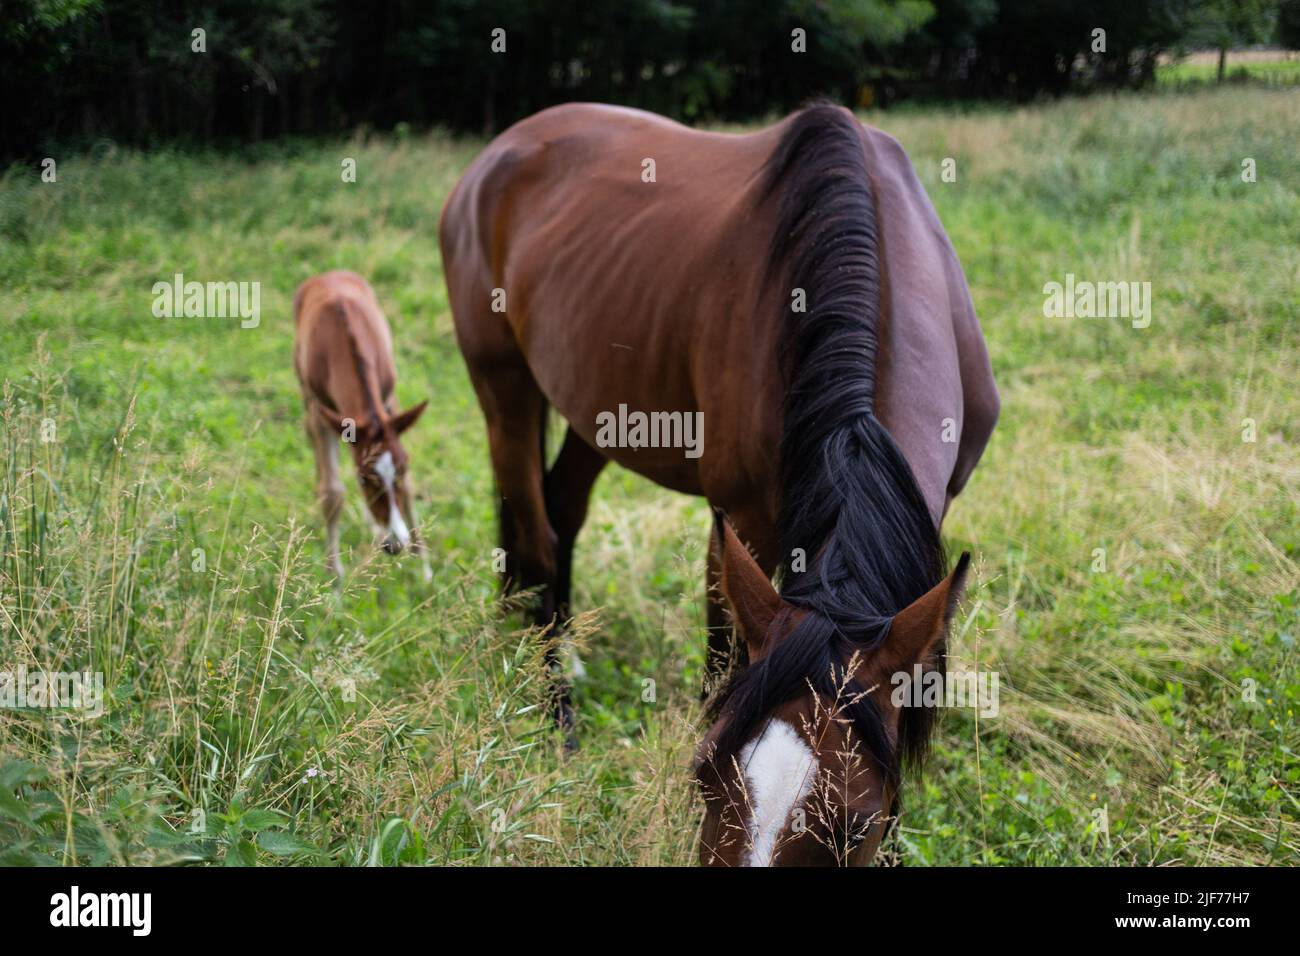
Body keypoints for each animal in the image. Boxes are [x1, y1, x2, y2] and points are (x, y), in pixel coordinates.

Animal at [292, 270, 429, 581]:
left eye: (401, 470)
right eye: (365, 479)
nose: (395, 544)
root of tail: (328, 274)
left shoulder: (388, 401)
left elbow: (409, 484)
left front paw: (424, 564)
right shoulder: (320, 411)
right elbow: (332, 493)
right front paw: (334, 580)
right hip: (305, 390)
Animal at [439, 101, 999, 863]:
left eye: (857, 825)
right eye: (703, 777)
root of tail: (500, 151)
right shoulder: (741, 522)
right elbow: (721, 657)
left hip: (596, 404)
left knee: (560, 507)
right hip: (504, 385)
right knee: (535, 525)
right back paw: (556, 705)